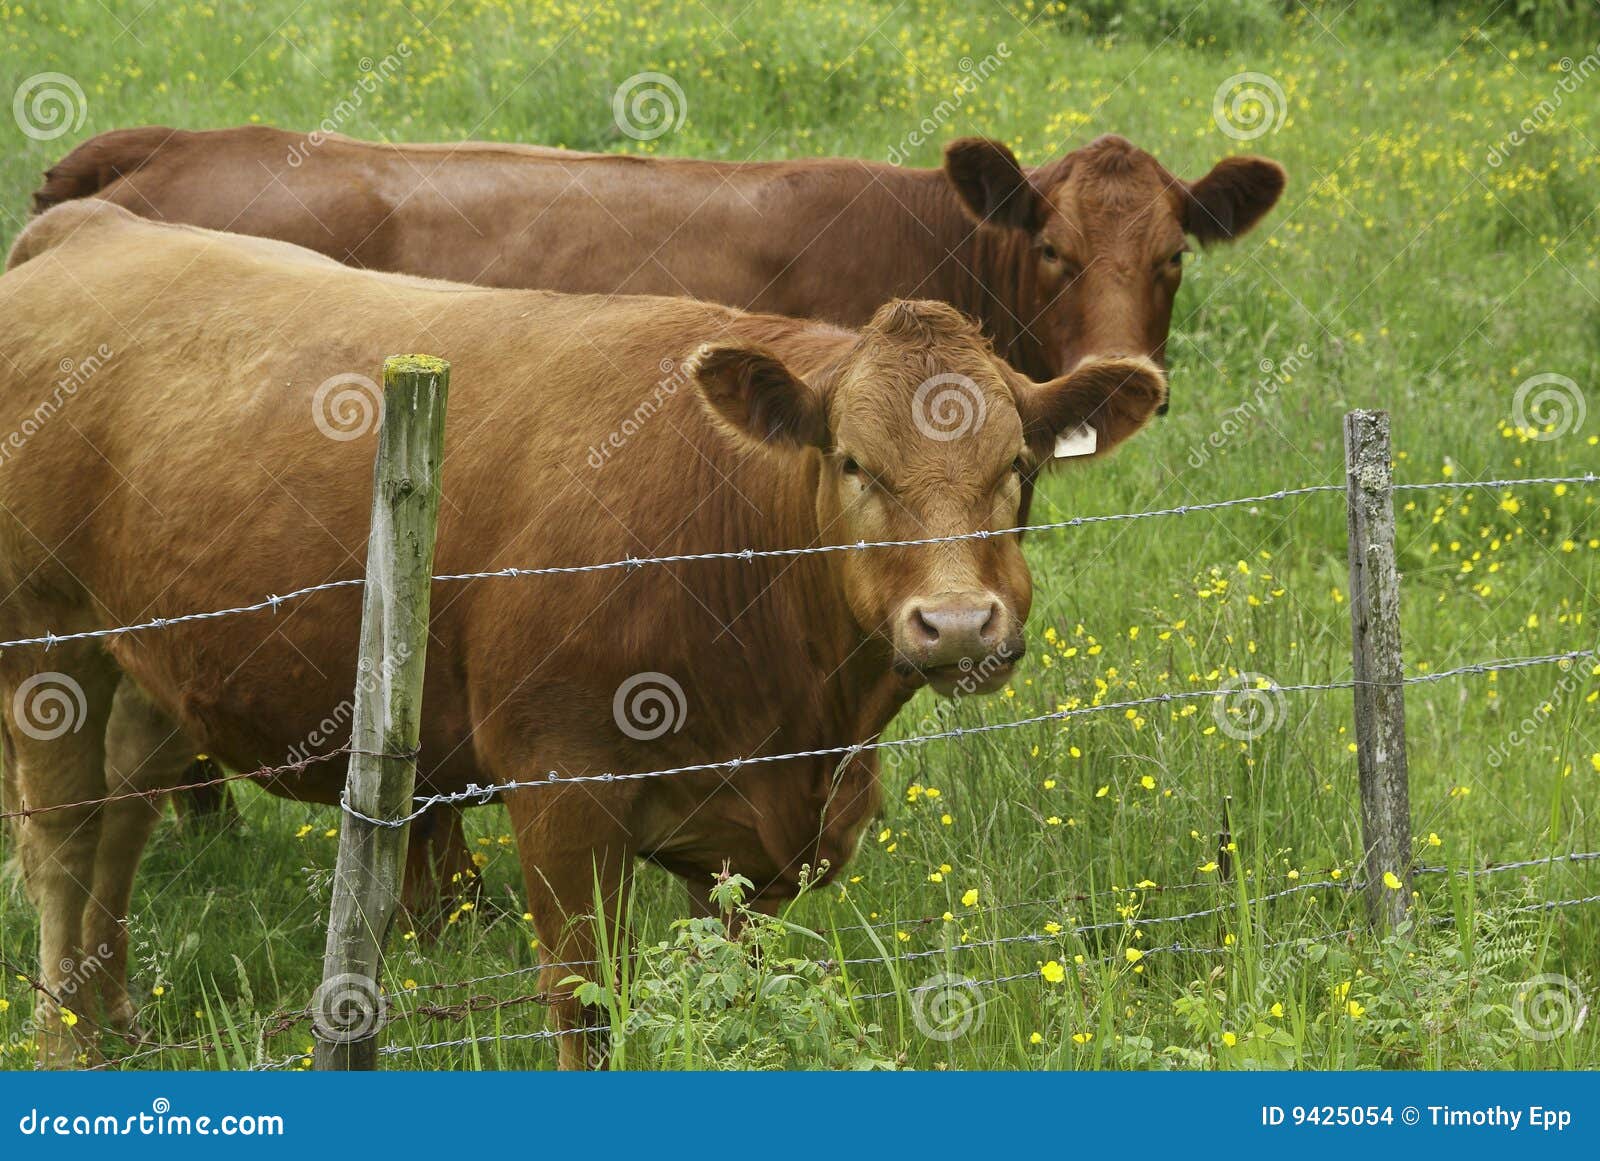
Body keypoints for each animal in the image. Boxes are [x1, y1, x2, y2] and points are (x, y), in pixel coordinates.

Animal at [0, 200, 1166, 1067]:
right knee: (60, 838)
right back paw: (62, 1040)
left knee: (123, 814)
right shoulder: (561, 795)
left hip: (153, 654)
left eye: (1018, 466)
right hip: (45, 640)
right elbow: (588, 1009)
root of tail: (93, 225)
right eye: (852, 462)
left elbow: (736, 1003)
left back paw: (116, 1022)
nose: (958, 621)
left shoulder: (757, 851)